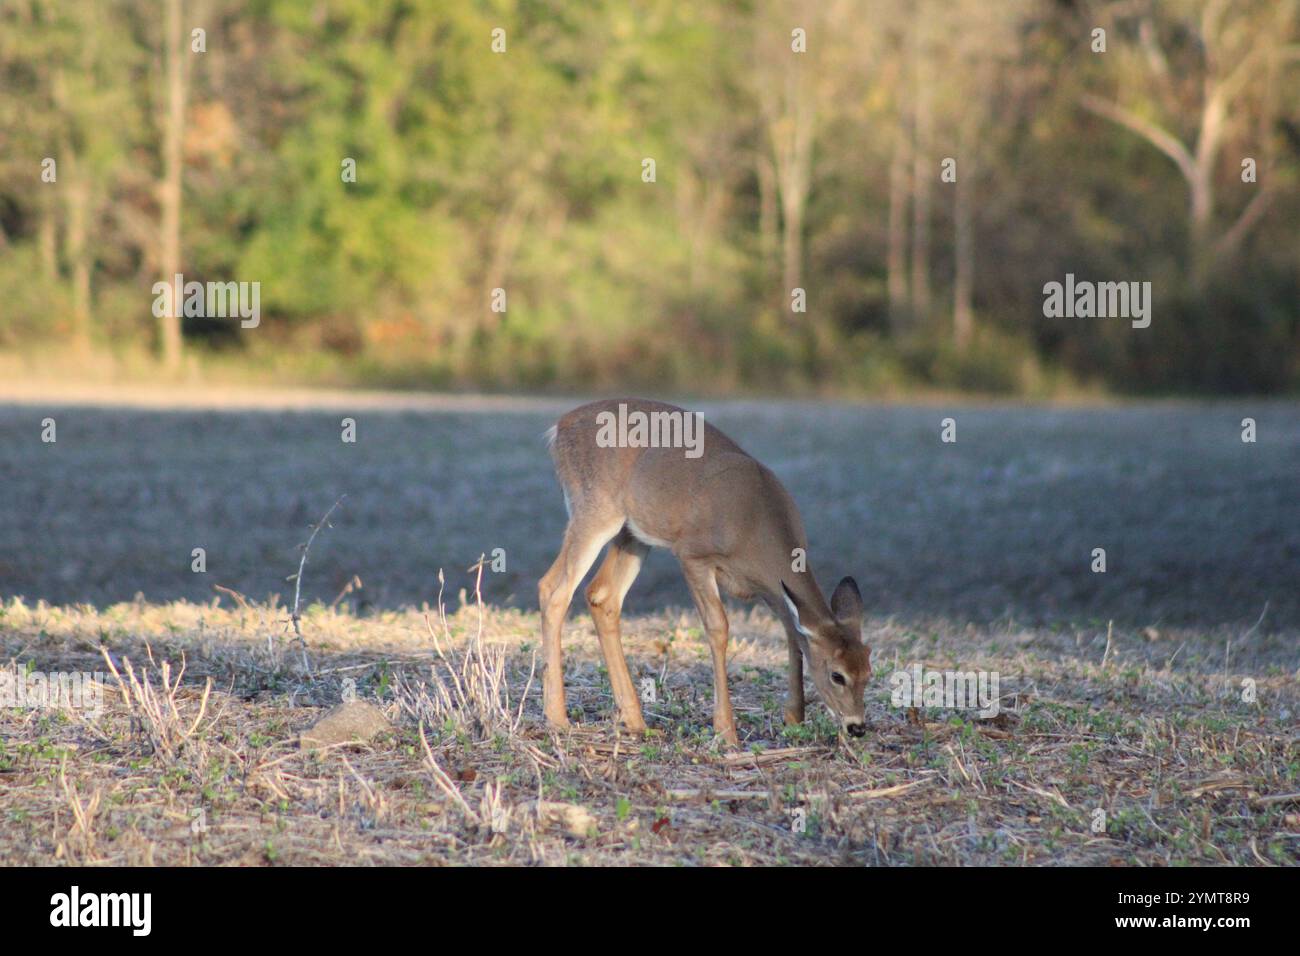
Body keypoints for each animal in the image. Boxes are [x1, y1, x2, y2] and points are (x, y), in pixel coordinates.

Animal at [538, 398, 872, 746]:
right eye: (837, 675)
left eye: (868, 670)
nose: (857, 726)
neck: (754, 527)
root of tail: (559, 427)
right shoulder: (693, 554)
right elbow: (719, 628)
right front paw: (726, 730)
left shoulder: (774, 589)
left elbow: (792, 632)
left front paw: (793, 716)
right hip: (595, 509)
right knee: (553, 589)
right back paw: (558, 718)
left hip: (633, 534)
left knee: (602, 595)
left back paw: (636, 721)